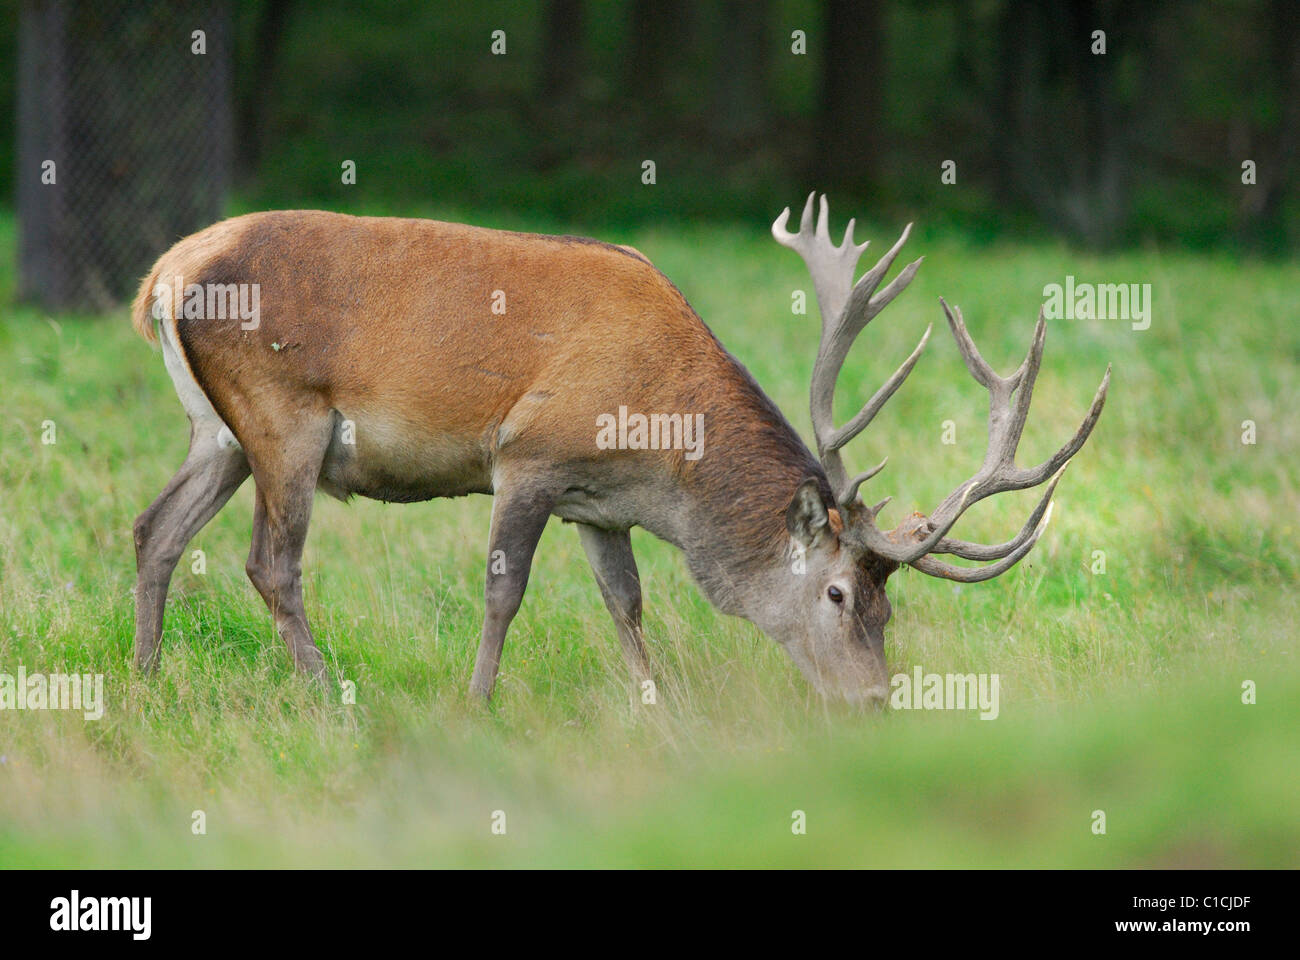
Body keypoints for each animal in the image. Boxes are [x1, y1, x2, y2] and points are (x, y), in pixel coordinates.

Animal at [129, 195, 1108, 705]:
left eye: (888, 607)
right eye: (837, 593)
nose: (874, 698)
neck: (661, 448)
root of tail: (163, 273)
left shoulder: (598, 506)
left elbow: (626, 604)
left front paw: (660, 712)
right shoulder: (527, 458)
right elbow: (504, 594)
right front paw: (476, 706)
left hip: (218, 432)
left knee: (154, 529)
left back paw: (143, 679)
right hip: (282, 414)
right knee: (270, 562)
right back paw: (326, 696)